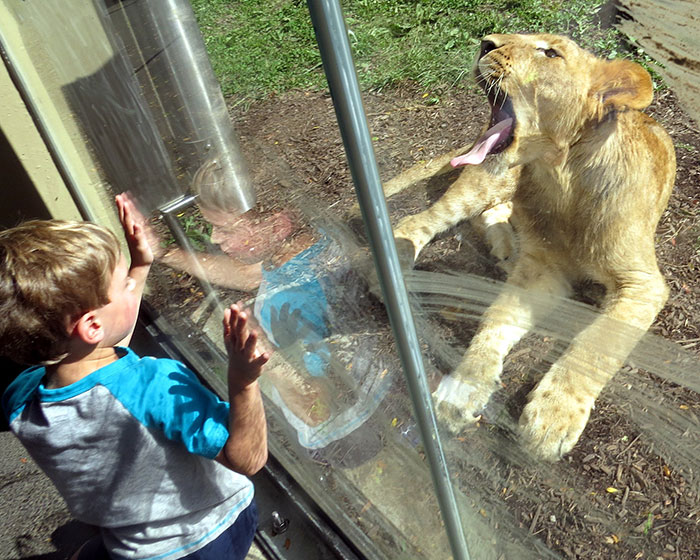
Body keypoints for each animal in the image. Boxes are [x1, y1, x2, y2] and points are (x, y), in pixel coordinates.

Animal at [379, 33, 676, 460]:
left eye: (550, 52)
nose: (486, 42)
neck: (563, 180)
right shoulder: (542, 269)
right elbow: (496, 317)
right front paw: (463, 387)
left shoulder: (642, 283)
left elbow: (597, 342)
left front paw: (554, 415)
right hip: (488, 180)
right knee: (421, 220)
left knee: (494, 214)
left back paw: (504, 249)